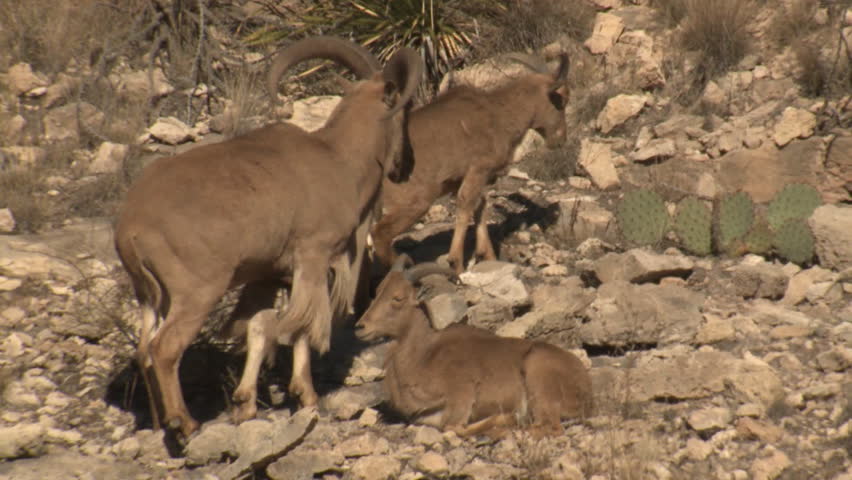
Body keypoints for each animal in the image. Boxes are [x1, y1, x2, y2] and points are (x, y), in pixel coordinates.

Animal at [113, 35, 423, 442]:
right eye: (405, 112)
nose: (407, 166)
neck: (337, 158)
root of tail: (130, 228)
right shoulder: (313, 256)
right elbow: (302, 326)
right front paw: (306, 396)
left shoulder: (266, 275)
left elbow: (259, 330)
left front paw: (244, 405)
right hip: (195, 292)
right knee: (165, 348)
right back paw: (185, 423)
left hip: (149, 295)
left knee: (144, 351)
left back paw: (157, 421)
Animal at [354, 254, 594, 438]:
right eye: (378, 291)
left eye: (397, 298)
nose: (360, 327)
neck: (422, 359)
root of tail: (584, 386)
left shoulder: (462, 395)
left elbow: (454, 427)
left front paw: (504, 419)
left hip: (540, 381)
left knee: (550, 427)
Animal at [370, 53, 570, 274]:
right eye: (562, 100)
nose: (560, 139)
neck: (498, 114)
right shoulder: (479, 168)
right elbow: (466, 203)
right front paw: (456, 262)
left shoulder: (464, 177)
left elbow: (480, 204)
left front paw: (487, 255)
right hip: (415, 202)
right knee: (380, 234)